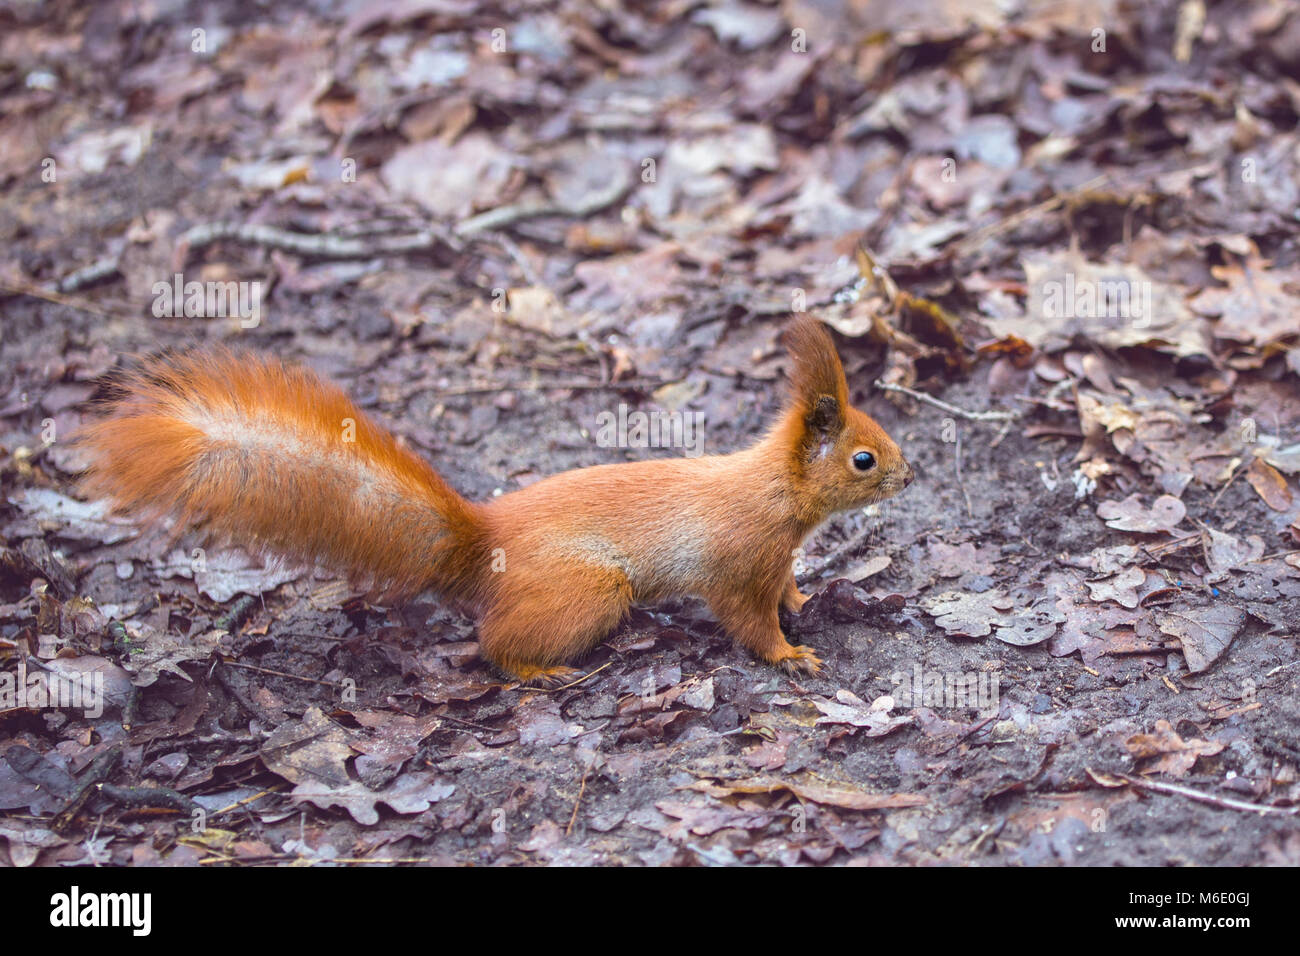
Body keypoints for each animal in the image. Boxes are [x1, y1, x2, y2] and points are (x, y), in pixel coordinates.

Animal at [75, 316, 913, 684]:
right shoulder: (739, 561)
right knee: (494, 644)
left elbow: (784, 587)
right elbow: (746, 618)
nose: (910, 476)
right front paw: (790, 654)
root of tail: (483, 541)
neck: (777, 493)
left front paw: (805, 600)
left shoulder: (774, 557)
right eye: (863, 458)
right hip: (587, 589)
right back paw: (540, 673)